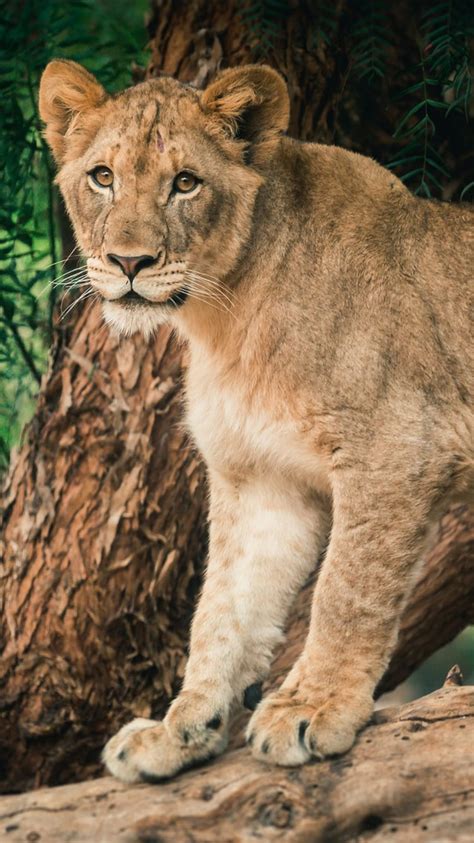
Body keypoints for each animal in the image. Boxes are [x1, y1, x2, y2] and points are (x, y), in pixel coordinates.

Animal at [39, 59, 473, 783]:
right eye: (102, 177)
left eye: (186, 183)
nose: (129, 263)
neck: (226, 317)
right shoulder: (263, 478)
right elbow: (224, 609)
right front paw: (181, 730)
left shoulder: (396, 447)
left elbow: (345, 592)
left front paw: (311, 708)